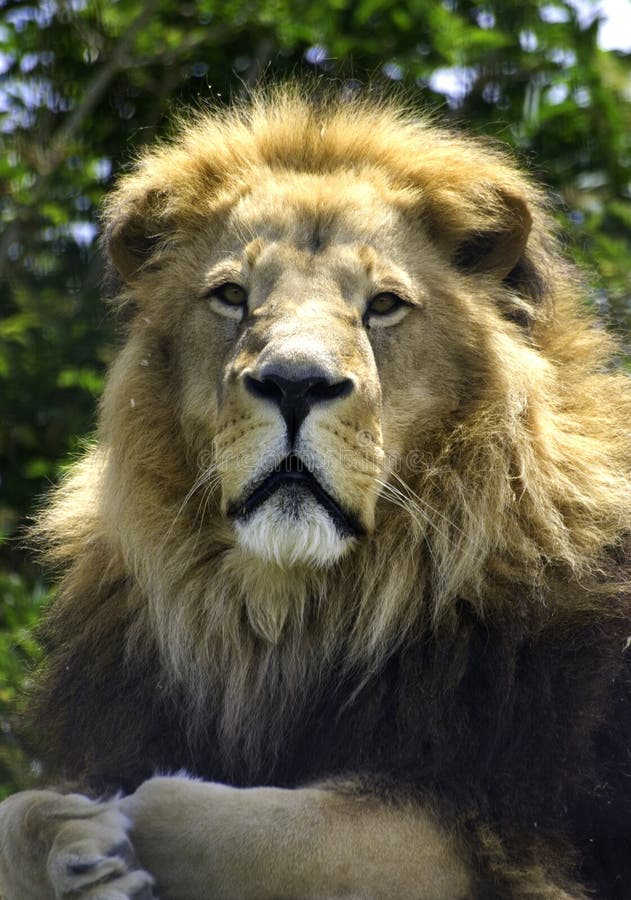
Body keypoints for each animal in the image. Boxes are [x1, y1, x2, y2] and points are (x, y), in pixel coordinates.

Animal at [1, 86, 630, 900]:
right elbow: (17, 811)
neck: (287, 615)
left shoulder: (476, 829)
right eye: (231, 296)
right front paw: (67, 834)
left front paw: (99, 831)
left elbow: (184, 810)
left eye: (384, 305)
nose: (294, 383)